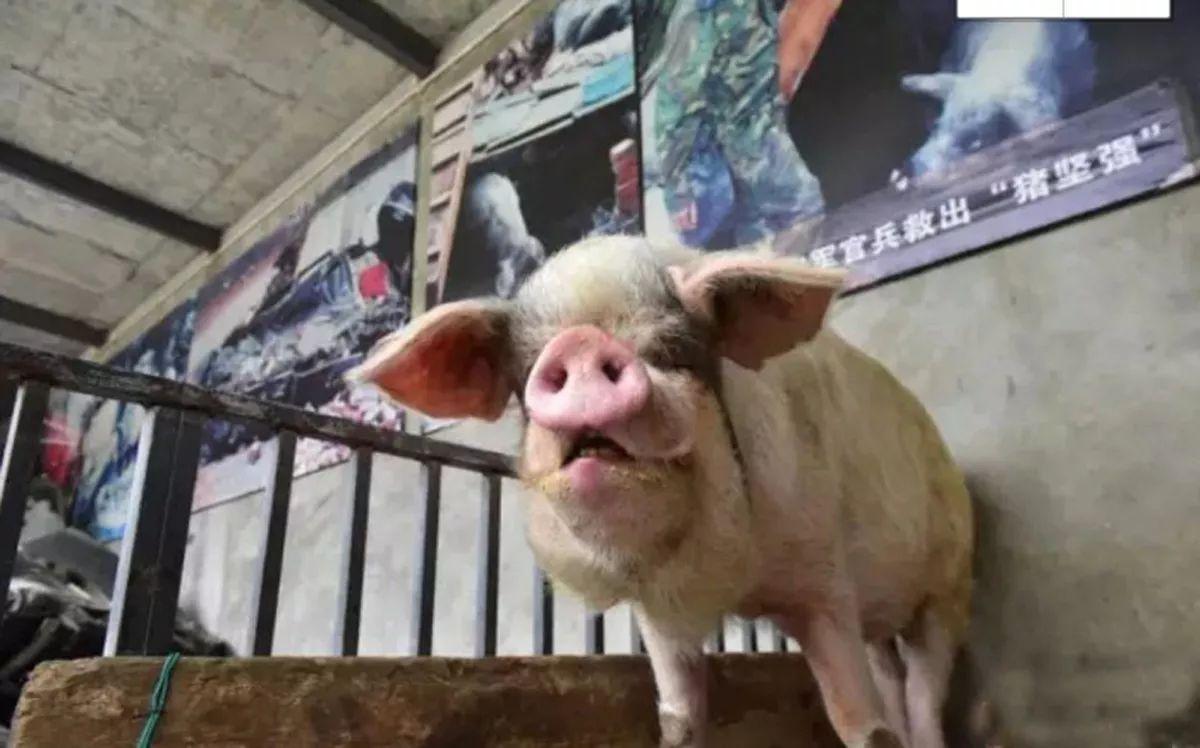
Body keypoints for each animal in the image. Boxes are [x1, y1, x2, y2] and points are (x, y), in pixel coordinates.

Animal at [348, 235, 973, 748]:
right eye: (525, 375)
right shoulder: (658, 609)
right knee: (892, 673)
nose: (579, 344)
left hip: (948, 586)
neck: (742, 585)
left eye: (673, 347)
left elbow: (860, 725)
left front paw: (868, 729)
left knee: (923, 695)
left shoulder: (824, 580)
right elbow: (676, 714)